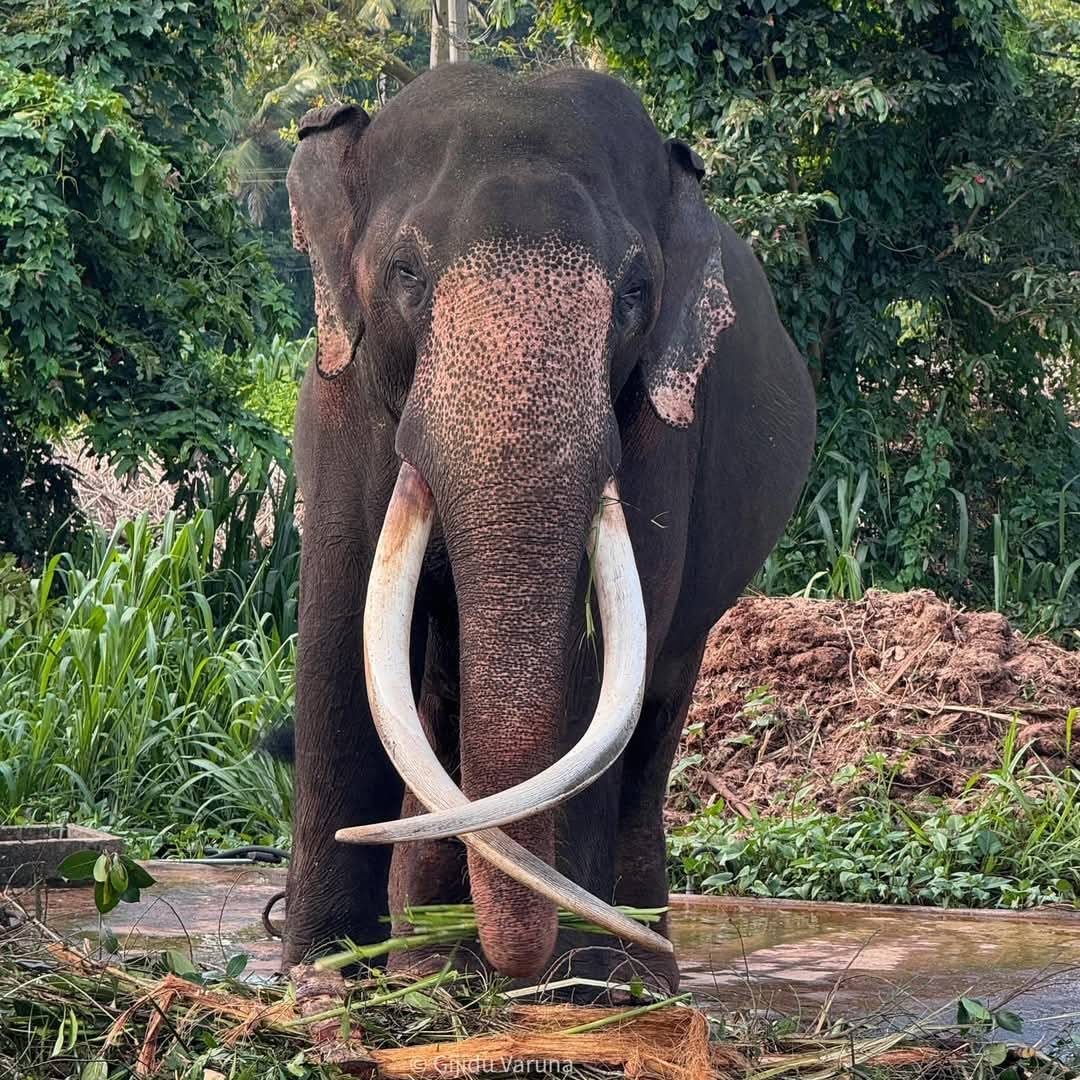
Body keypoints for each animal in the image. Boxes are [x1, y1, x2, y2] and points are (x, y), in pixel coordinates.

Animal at [280, 61, 815, 991]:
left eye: (635, 293)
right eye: (406, 272)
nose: (519, 966)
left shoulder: (662, 424)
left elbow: (602, 668)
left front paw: (579, 988)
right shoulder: (338, 397)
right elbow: (344, 628)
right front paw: (321, 978)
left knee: (654, 710)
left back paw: (630, 974)